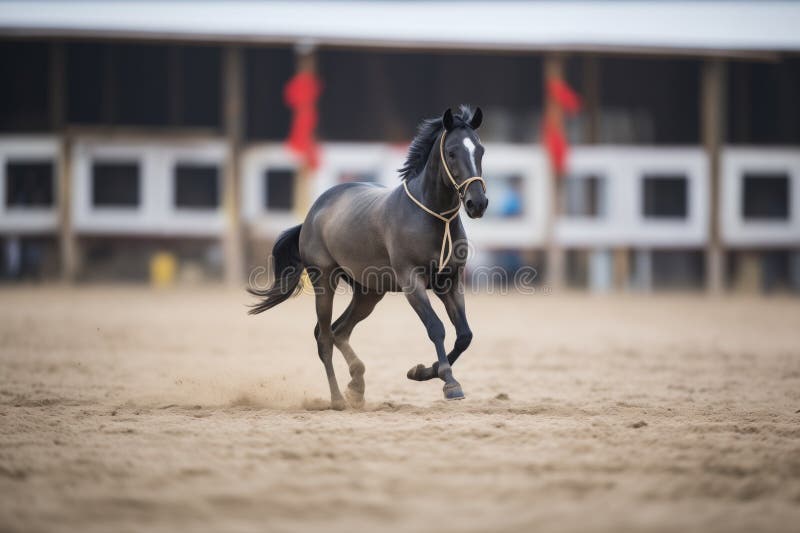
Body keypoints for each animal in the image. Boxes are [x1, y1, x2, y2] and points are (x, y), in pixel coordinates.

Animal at [248, 106, 488, 409]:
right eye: (452, 152)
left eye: (480, 150)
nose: (477, 204)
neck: (432, 217)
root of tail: (313, 213)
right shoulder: (412, 283)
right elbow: (436, 327)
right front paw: (449, 382)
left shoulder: (450, 282)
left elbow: (464, 335)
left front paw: (421, 371)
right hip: (324, 281)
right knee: (324, 336)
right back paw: (338, 398)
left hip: (368, 293)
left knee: (339, 331)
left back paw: (357, 384)